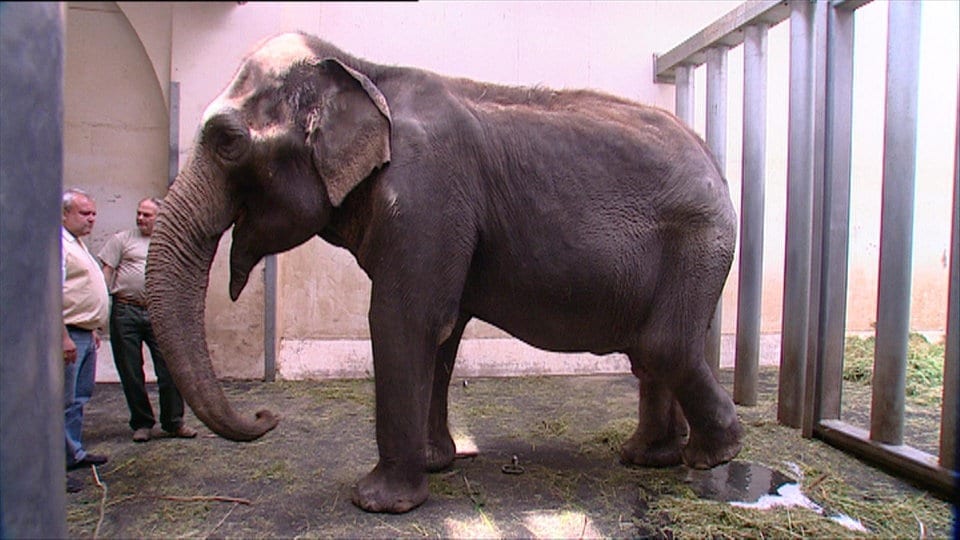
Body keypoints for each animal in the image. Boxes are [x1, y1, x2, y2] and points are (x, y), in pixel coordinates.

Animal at [145, 32, 742, 514]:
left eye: (227, 142)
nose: (266, 416)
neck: (364, 68)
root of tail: (715, 163)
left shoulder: (425, 189)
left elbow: (404, 321)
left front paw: (377, 504)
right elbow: (443, 333)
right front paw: (436, 464)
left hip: (697, 241)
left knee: (663, 346)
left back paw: (713, 456)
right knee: (653, 352)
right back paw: (649, 457)